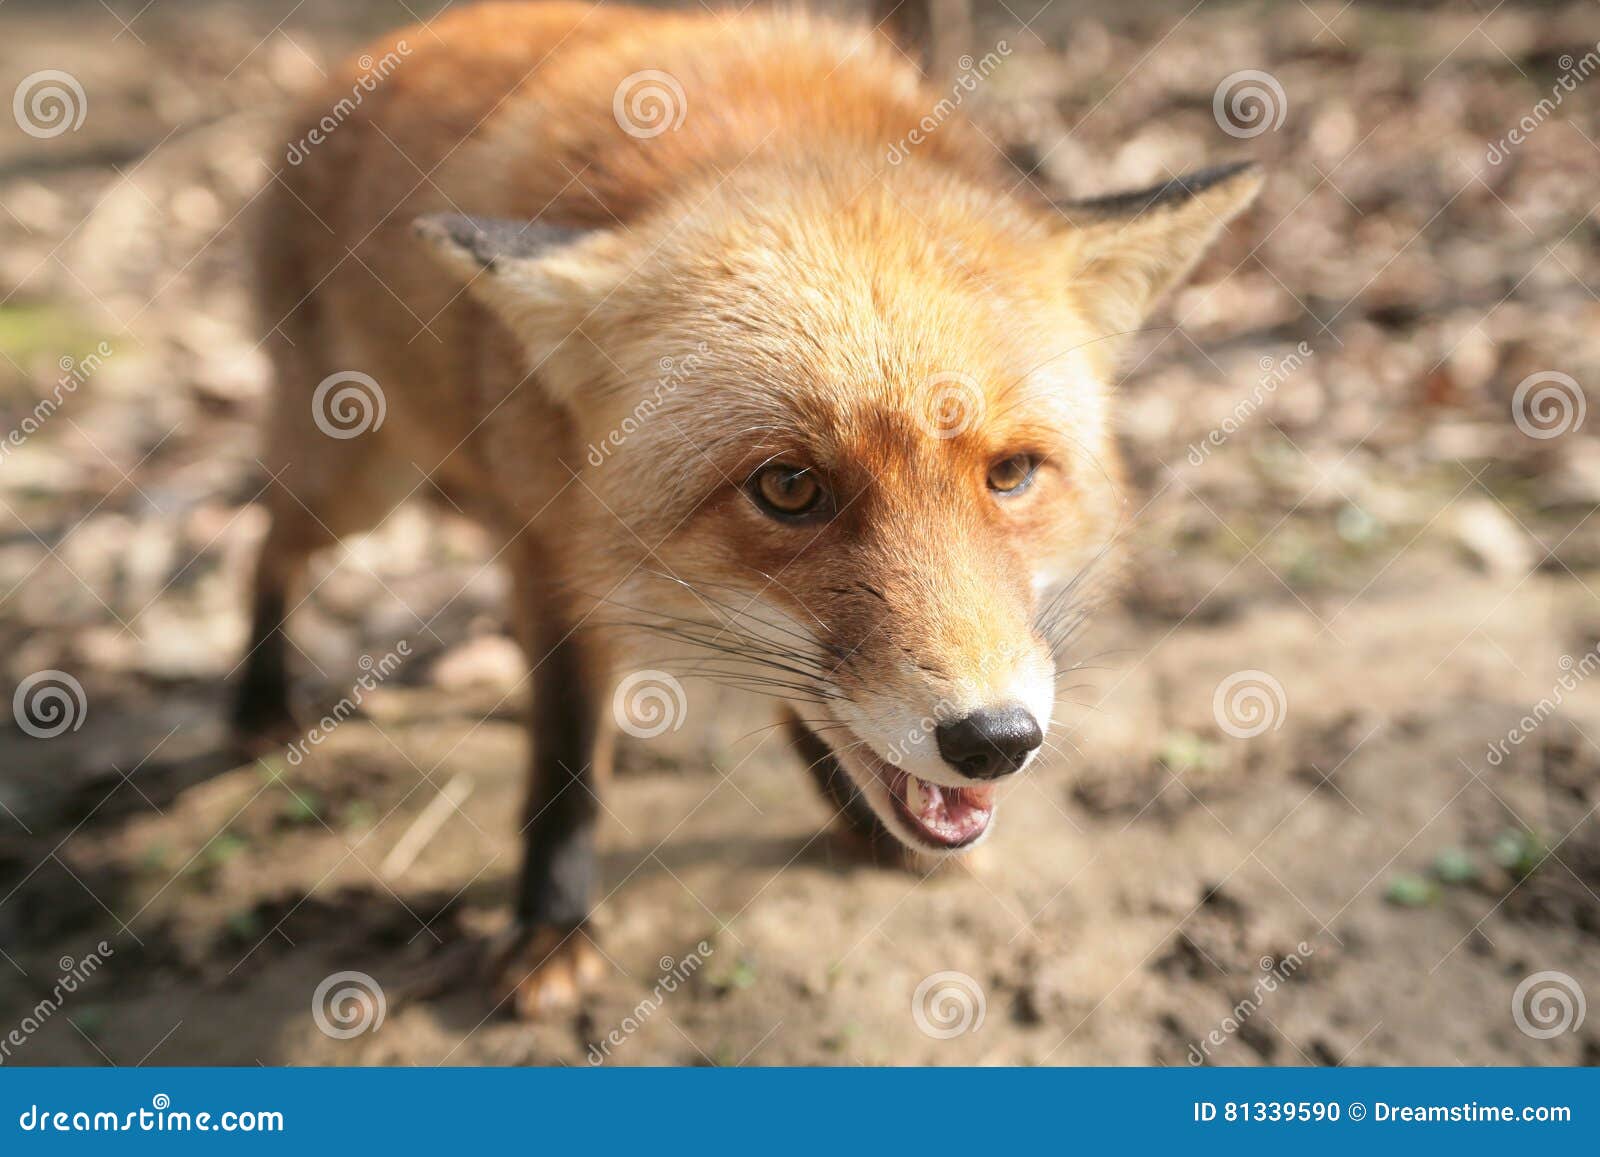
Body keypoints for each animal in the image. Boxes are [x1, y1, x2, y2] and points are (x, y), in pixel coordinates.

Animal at [236, 0, 1262, 1017]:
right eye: (790, 488)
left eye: (1011, 472)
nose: (995, 741)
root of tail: (369, 57)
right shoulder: (553, 556)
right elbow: (565, 762)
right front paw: (550, 926)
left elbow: (812, 714)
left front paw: (866, 826)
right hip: (356, 480)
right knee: (266, 542)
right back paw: (258, 699)